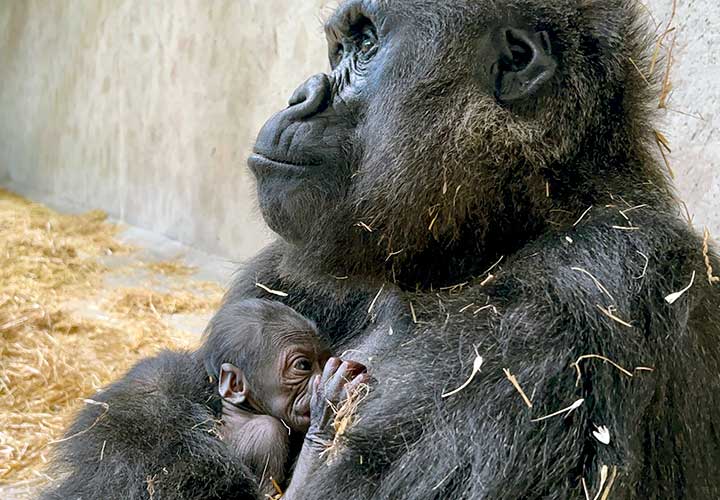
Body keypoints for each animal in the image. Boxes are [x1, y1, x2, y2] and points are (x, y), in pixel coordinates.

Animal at [45, 0, 720, 498]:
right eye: (339, 46)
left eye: (367, 45)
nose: (298, 94)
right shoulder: (300, 257)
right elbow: (165, 402)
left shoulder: (600, 275)